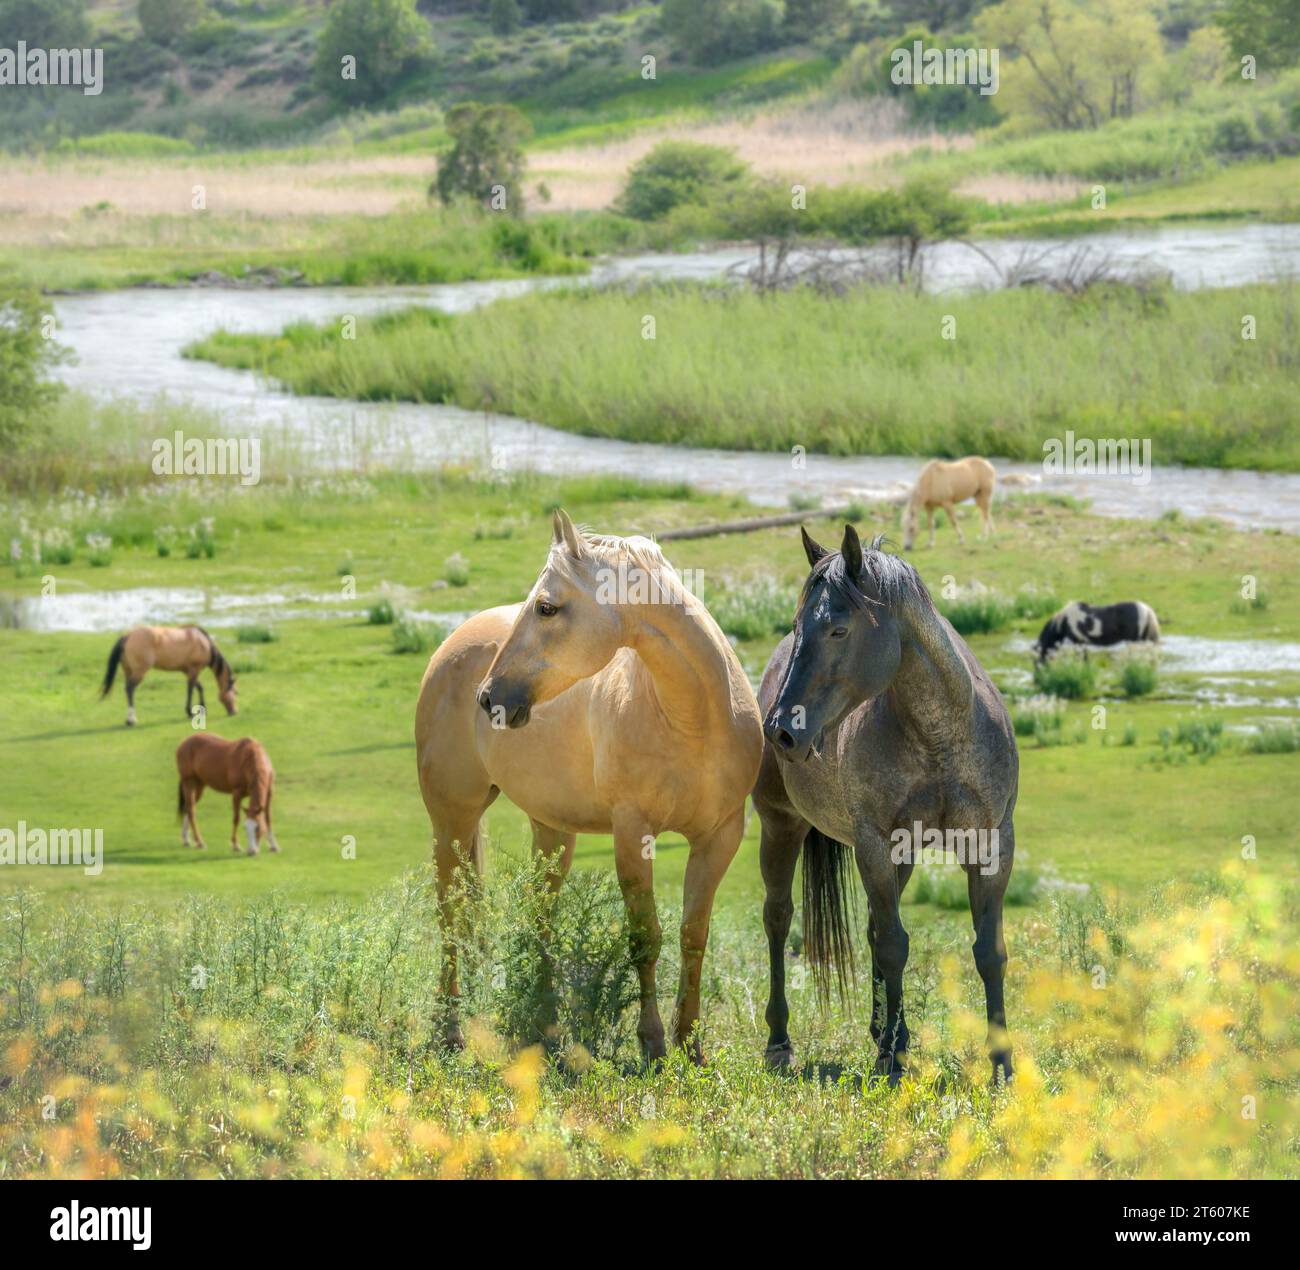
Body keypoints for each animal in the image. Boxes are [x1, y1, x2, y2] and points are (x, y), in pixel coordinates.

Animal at [101, 625, 237, 726]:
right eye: (236, 693)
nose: (234, 712)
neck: (204, 643)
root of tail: (127, 636)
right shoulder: (194, 670)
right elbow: (190, 690)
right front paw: (190, 712)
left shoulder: (189, 671)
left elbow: (199, 687)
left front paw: (202, 709)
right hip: (139, 672)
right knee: (130, 689)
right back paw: (131, 719)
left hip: (128, 671)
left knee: (127, 689)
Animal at [415, 509, 764, 1062]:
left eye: (546, 607)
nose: (489, 697)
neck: (694, 720)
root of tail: (451, 645)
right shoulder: (632, 834)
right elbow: (645, 937)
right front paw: (653, 1043)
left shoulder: (720, 837)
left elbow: (694, 935)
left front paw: (691, 1044)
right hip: (452, 817)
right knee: (451, 913)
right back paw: (450, 1028)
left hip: (551, 829)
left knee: (540, 914)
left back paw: (547, 1026)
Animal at [755, 524, 1019, 1085]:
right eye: (798, 627)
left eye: (838, 630)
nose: (781, 730)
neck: (938, 734)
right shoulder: (873, 845)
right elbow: (895, 946)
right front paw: (894, 1065)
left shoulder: (990, 845)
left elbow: (988, 951)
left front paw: (1002, 1065)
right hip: (780, 825)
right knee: (779, 919)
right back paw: (781, 1043)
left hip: (903, 856)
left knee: (875, 928)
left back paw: (883, 1033)